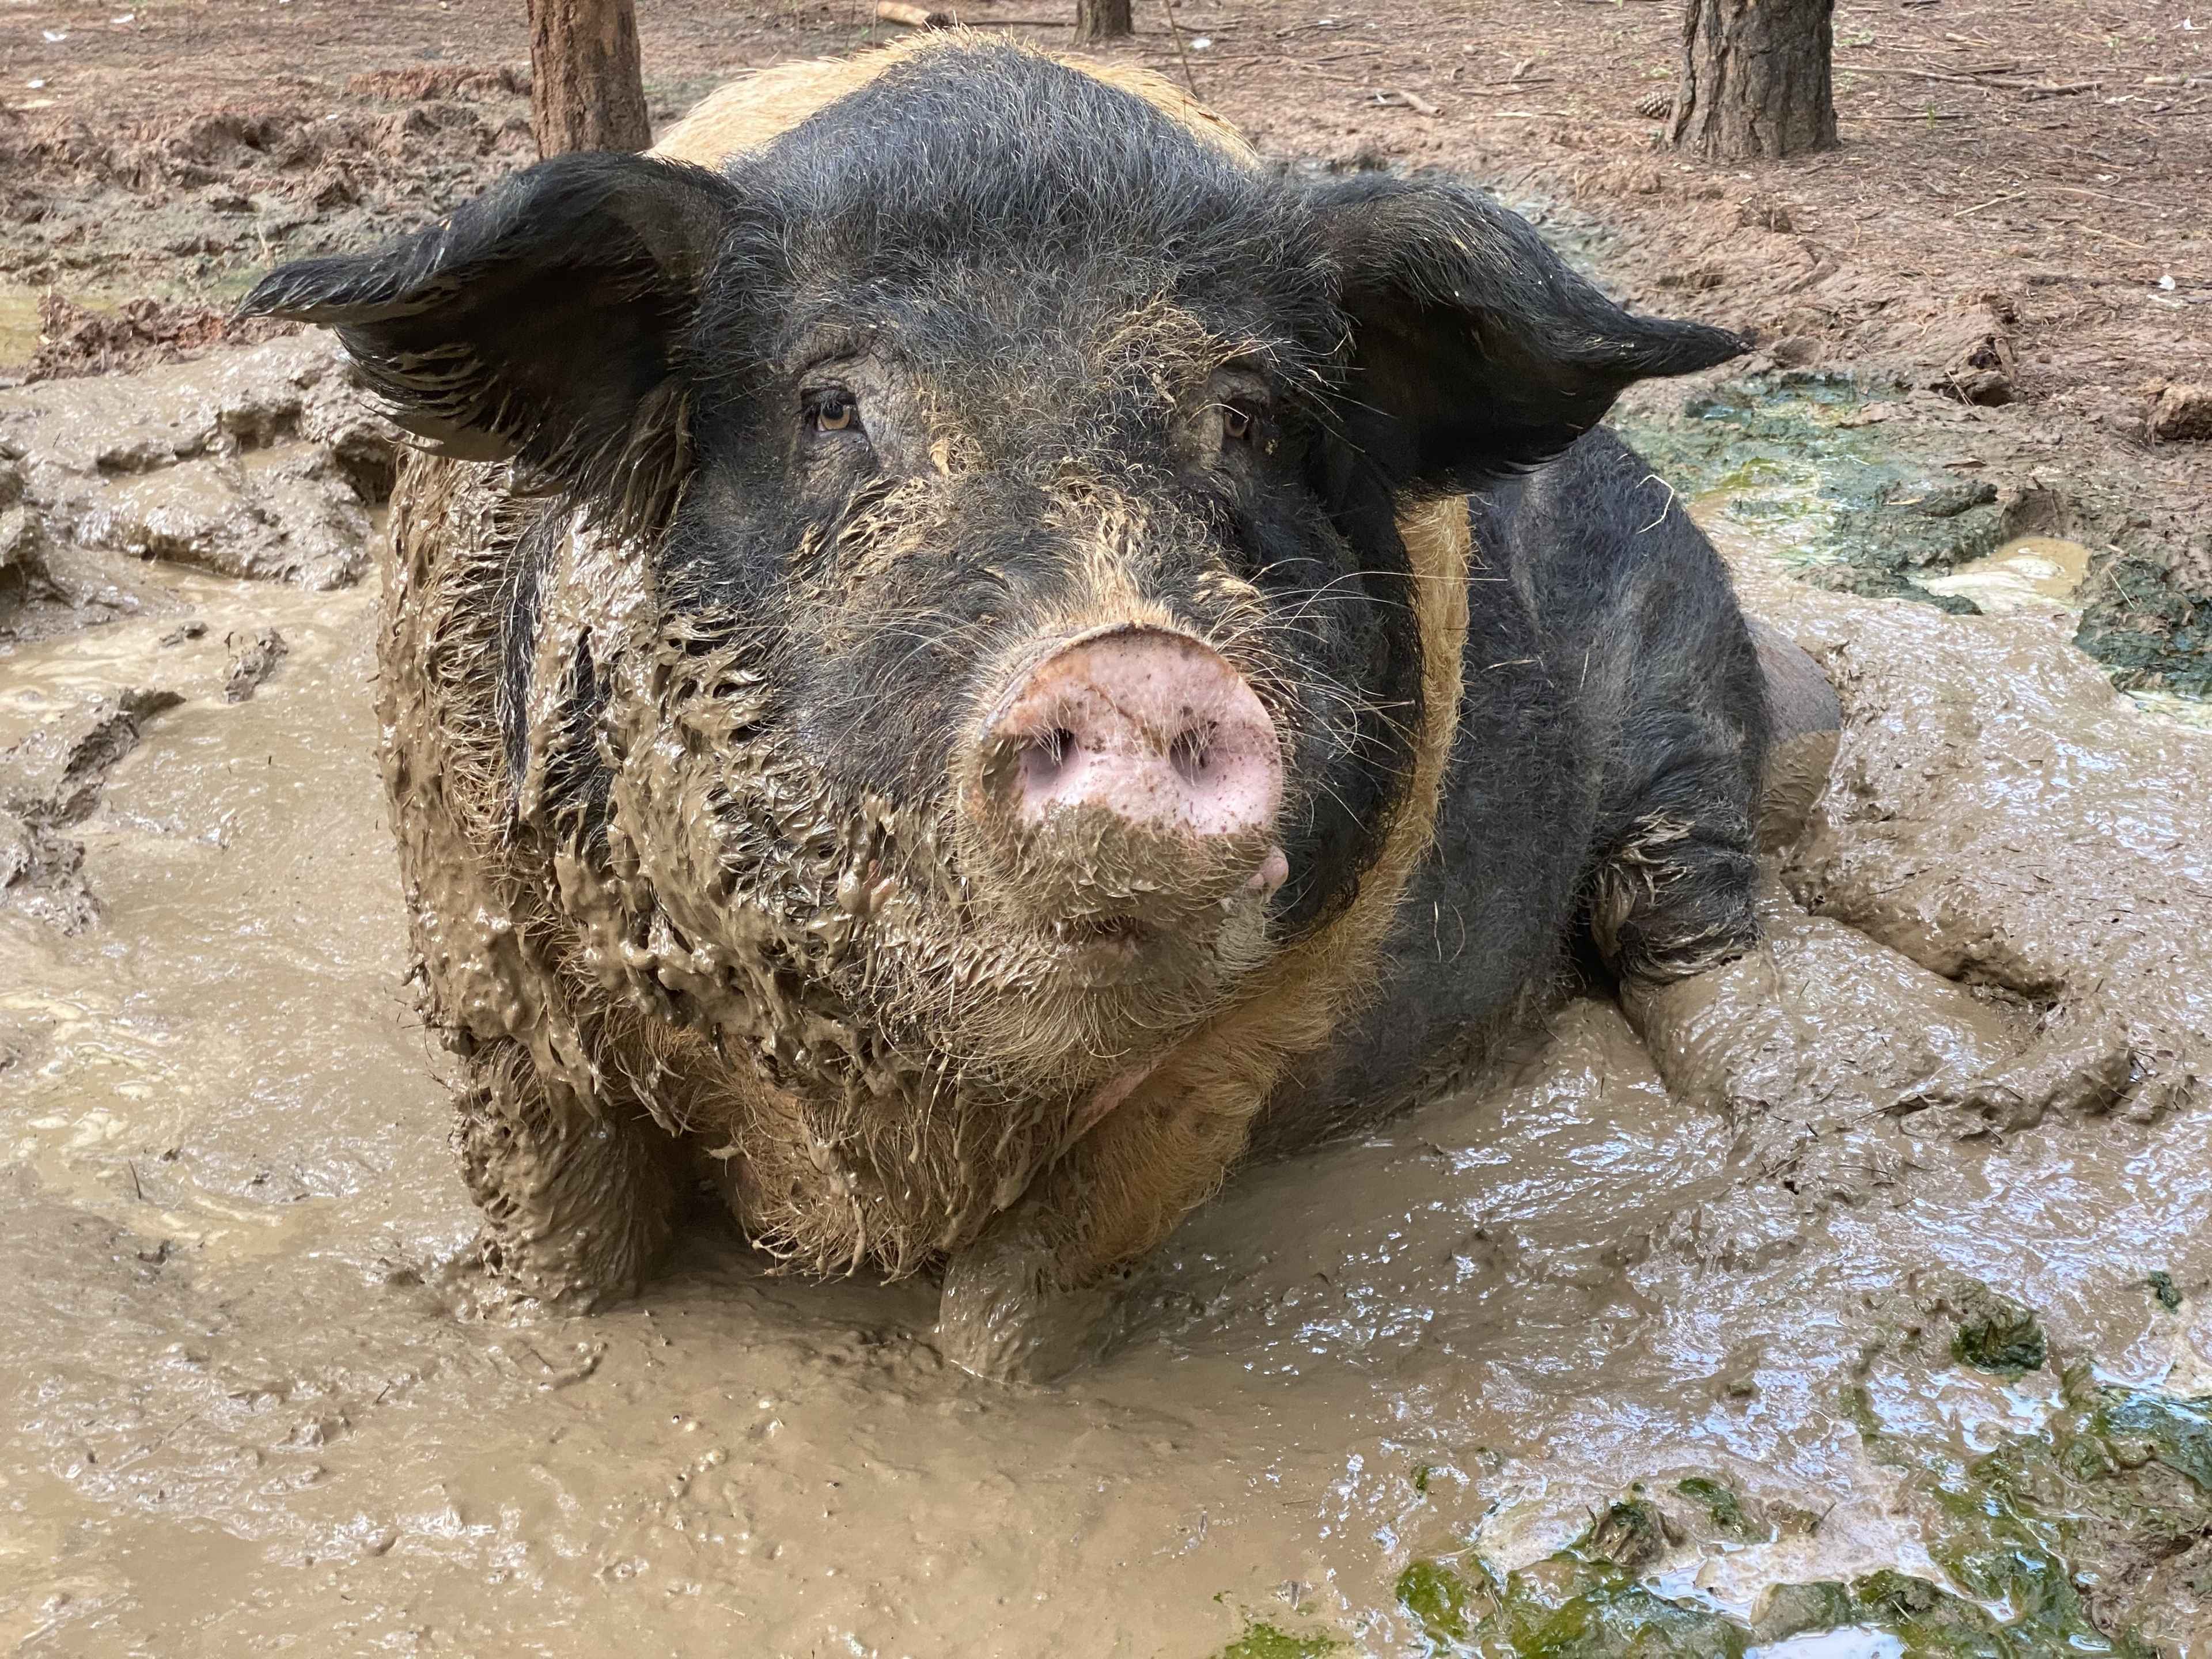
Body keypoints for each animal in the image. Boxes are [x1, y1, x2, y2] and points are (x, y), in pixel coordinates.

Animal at [241, 34, 1816, 1379]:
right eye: (829, 405)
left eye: (1247, 417)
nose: (1135, 661)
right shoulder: (480, 951)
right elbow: (559, 1241)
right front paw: (525, 1336)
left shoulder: (1240, 1050)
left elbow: (1027, 1305)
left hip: (1682, 713)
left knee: (1700, 941)